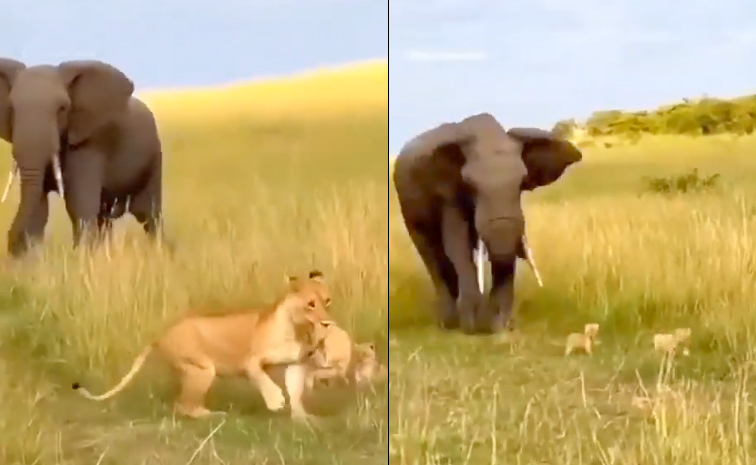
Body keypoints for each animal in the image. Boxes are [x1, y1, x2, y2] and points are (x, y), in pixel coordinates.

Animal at [0, 57, 166, 257]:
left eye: (62, 108)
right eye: (10, 108)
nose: (12, 245)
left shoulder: (89, 145)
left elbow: (79, 205)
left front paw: (82, 258)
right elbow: (40, 207)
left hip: (154, 159)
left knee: (149, 215)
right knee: (106, 217)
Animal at [72, 270, 335, 420]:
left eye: (327, 301)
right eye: (310, 304)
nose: (327, 322)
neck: (298, 330)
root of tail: (161, 334)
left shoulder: (296, 363)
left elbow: (296, 391)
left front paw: (303, 418)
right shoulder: (250, 361)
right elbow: (262, 378)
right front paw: (275, 401)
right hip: (203, 368)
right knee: (183, 406)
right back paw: (215, 416)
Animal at [392, 113, 582, 334]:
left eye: (522, 181)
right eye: (470, 184)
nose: (498, 323)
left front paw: (498, 324)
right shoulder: (447, 191)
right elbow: (457, 245)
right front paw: (472, 325)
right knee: (431, 253)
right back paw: (447, 322)